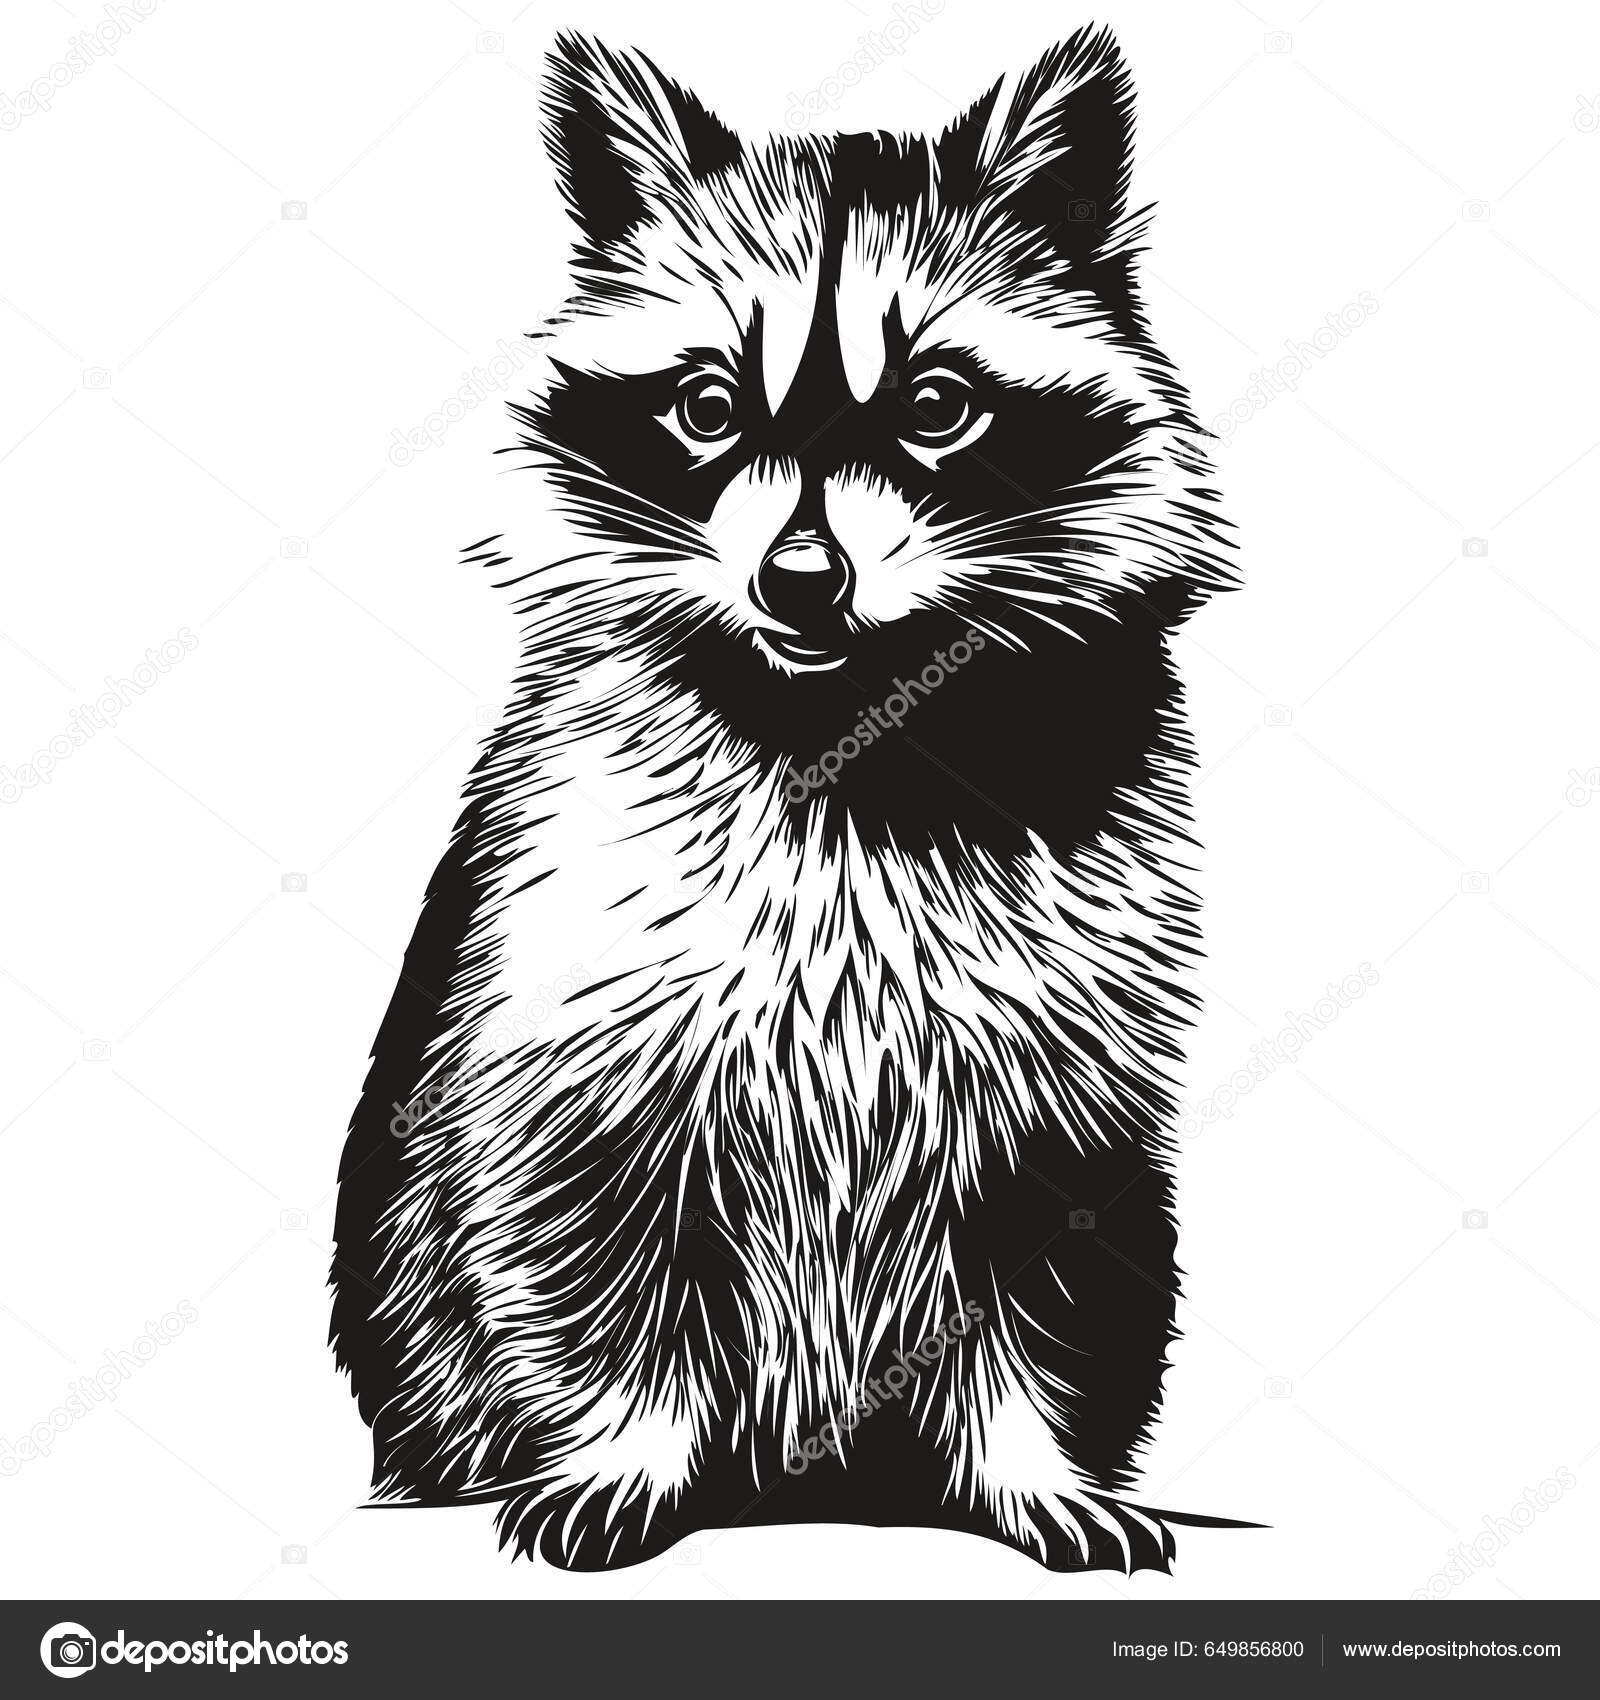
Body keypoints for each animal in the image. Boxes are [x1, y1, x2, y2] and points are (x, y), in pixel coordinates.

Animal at [331, 25, 1241, 1574]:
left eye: (936, 407)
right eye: (706, 406)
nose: (800, 579)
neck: (840, 721)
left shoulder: (1066, 1031)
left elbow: (1043, 1256)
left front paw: (1029, 1463)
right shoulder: (576, 976)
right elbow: (583, 1231)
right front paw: (625, 1447)